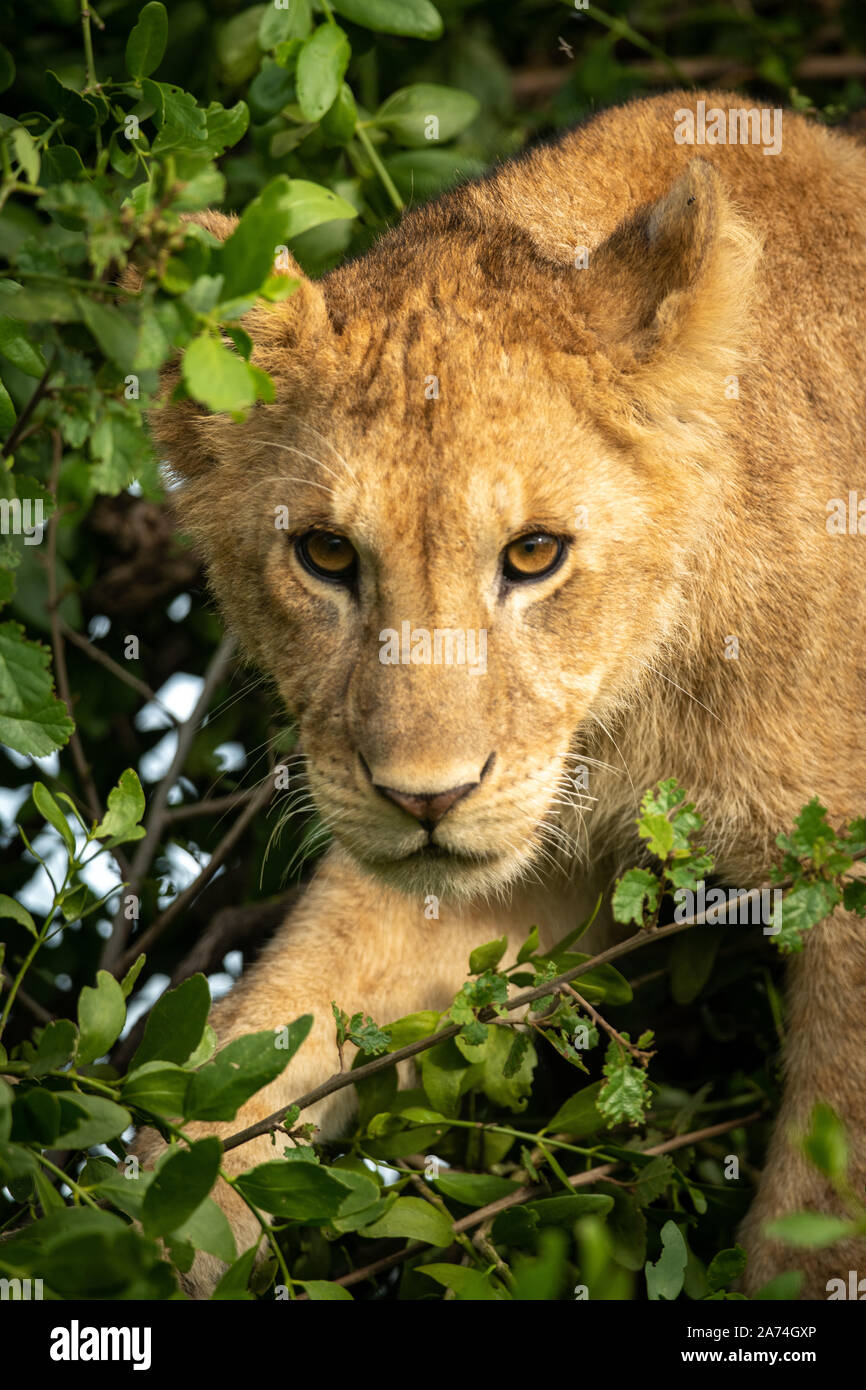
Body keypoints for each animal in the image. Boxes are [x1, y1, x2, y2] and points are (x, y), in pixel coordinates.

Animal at [134, 90, 866, 1300]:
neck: (647, 695)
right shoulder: (523, 848)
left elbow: (824, 1205)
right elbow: (289, 998)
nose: (423, 797)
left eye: (533, 554)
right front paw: (174, 1211)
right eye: (326, 555)